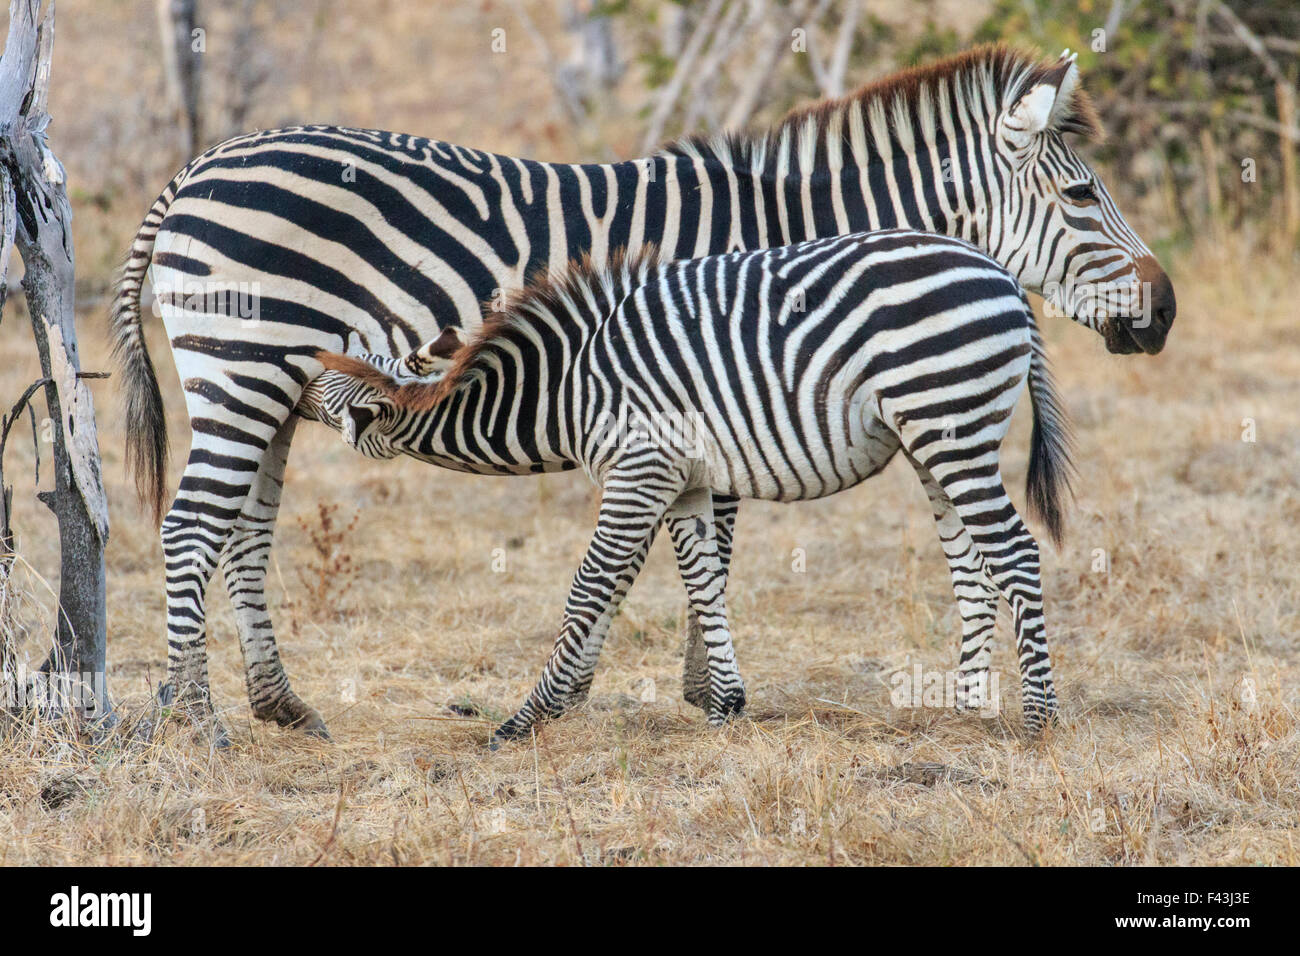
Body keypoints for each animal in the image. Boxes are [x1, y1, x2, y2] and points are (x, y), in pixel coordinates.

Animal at [303, 230, 1075, 739]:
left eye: (320, 389)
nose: (288, 370)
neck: (565, 390)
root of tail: (1002, 274)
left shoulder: (639, 470)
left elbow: (590, 586)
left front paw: (527, 719)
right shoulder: (684, 483)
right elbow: (704, 582)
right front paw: (726, 705)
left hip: (951, 424)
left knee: (1014, 552)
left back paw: (1039, 716)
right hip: (933, 444)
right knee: (970, 563)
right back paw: (967, 706)